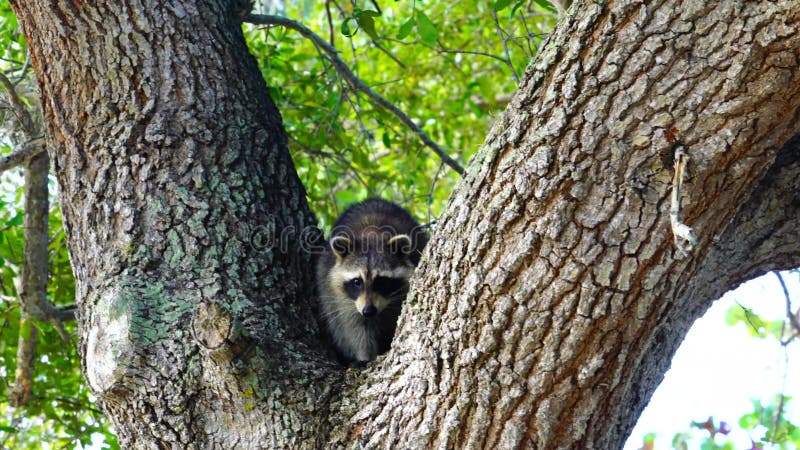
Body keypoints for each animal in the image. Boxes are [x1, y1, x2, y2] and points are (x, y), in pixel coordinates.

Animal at [316, 198, 428, 364]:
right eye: (357, 282)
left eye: (381, 281)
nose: (368, 311)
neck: (372, 235)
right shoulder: (344, 302)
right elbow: (356, 329)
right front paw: (365, 356)